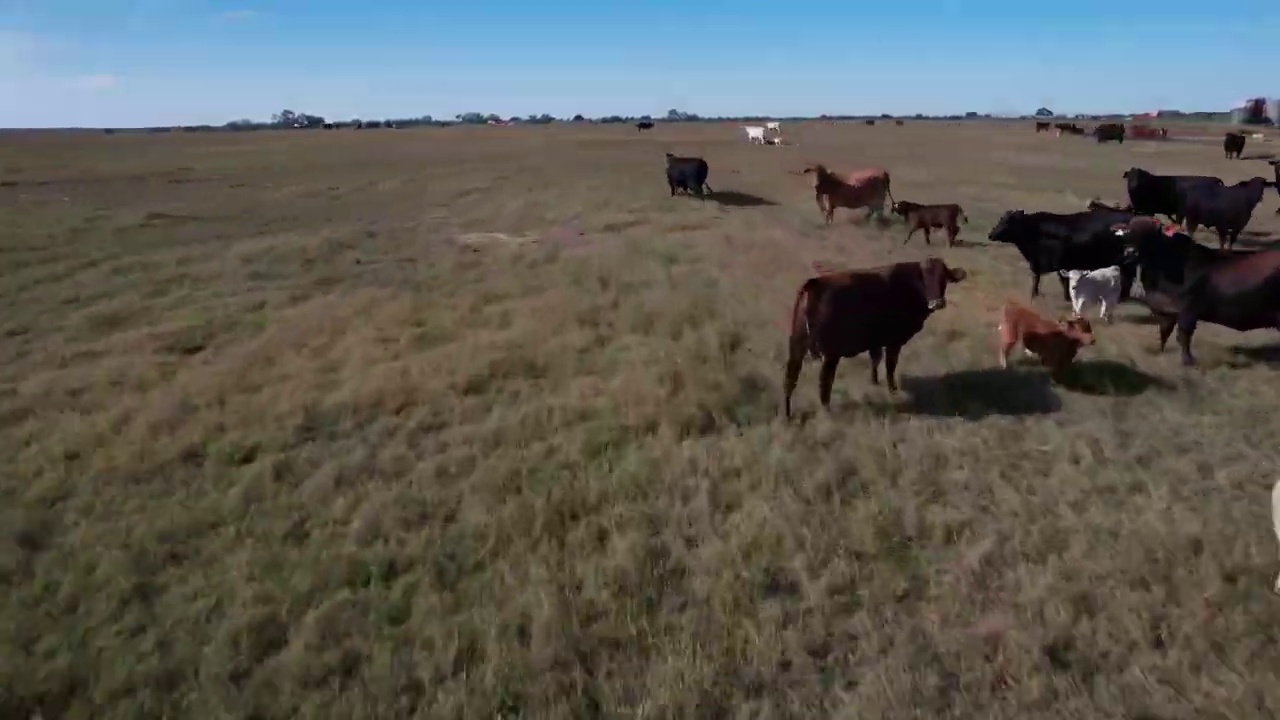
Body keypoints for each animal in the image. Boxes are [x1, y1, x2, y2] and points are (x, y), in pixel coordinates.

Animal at [782, 257, 967, 417]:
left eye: (944, 279)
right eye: (925, 278)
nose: (937, 303)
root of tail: (816, 282)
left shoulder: (875, 340)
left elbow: (875, 360)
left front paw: (875, 381)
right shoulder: (894, 341)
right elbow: (890, 365)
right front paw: (892, 389)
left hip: (796, 346)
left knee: (790, 379)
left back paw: (788, 414)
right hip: (830, 354)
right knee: (825, 381)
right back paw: (826, 409)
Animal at [987, 206, 1135, 300]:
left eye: (1007, 222)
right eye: (1001, 219)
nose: (990, 235)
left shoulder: (1058, 263)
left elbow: (1059, 280)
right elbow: (1040, 279)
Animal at [1110, 216, 1280, 366]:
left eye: (1150, 235)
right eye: (1128, 232)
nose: (1131, 252)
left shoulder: (1188, 311)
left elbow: (1183, 337)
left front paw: (1187, 361)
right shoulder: (1165, 311)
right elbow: (1164, 334)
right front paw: (1162, 353)